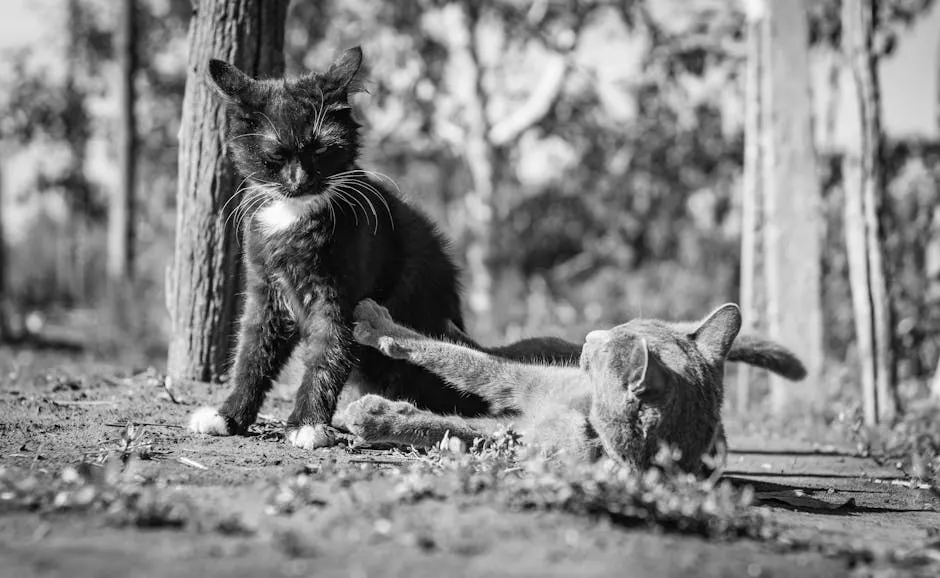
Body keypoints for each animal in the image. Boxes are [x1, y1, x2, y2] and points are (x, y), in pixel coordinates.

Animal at [186, 47, 488, 448]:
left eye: (321, 150)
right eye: (275, 156)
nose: (299, 181)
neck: (293, 217)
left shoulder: (339, 294)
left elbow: (328, 353)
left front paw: (307, 423)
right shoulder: (265, 291)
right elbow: (251, 353)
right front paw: (228, 414)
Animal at [346, 296, 808, 472]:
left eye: (613, 342)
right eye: (624, 327)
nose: (590, 336)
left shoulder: (518, 418)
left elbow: (459, 399)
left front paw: (374, 414)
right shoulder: (523, 385)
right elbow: (461, 364)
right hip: (539, 347)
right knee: (485, 346)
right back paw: (452, 327)